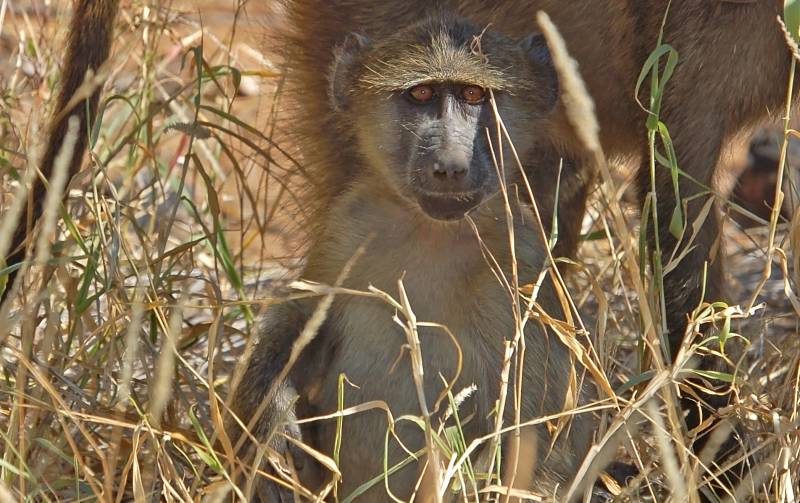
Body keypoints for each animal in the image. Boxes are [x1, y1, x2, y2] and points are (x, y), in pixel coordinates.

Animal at [229, 15, 596, 501]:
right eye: (421, 95)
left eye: (473, 95)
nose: (451, 166)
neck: (431, 231)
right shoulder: (346, 230)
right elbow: (301, 319)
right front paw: (269, 427)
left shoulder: (524, 265)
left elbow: (545, 426)